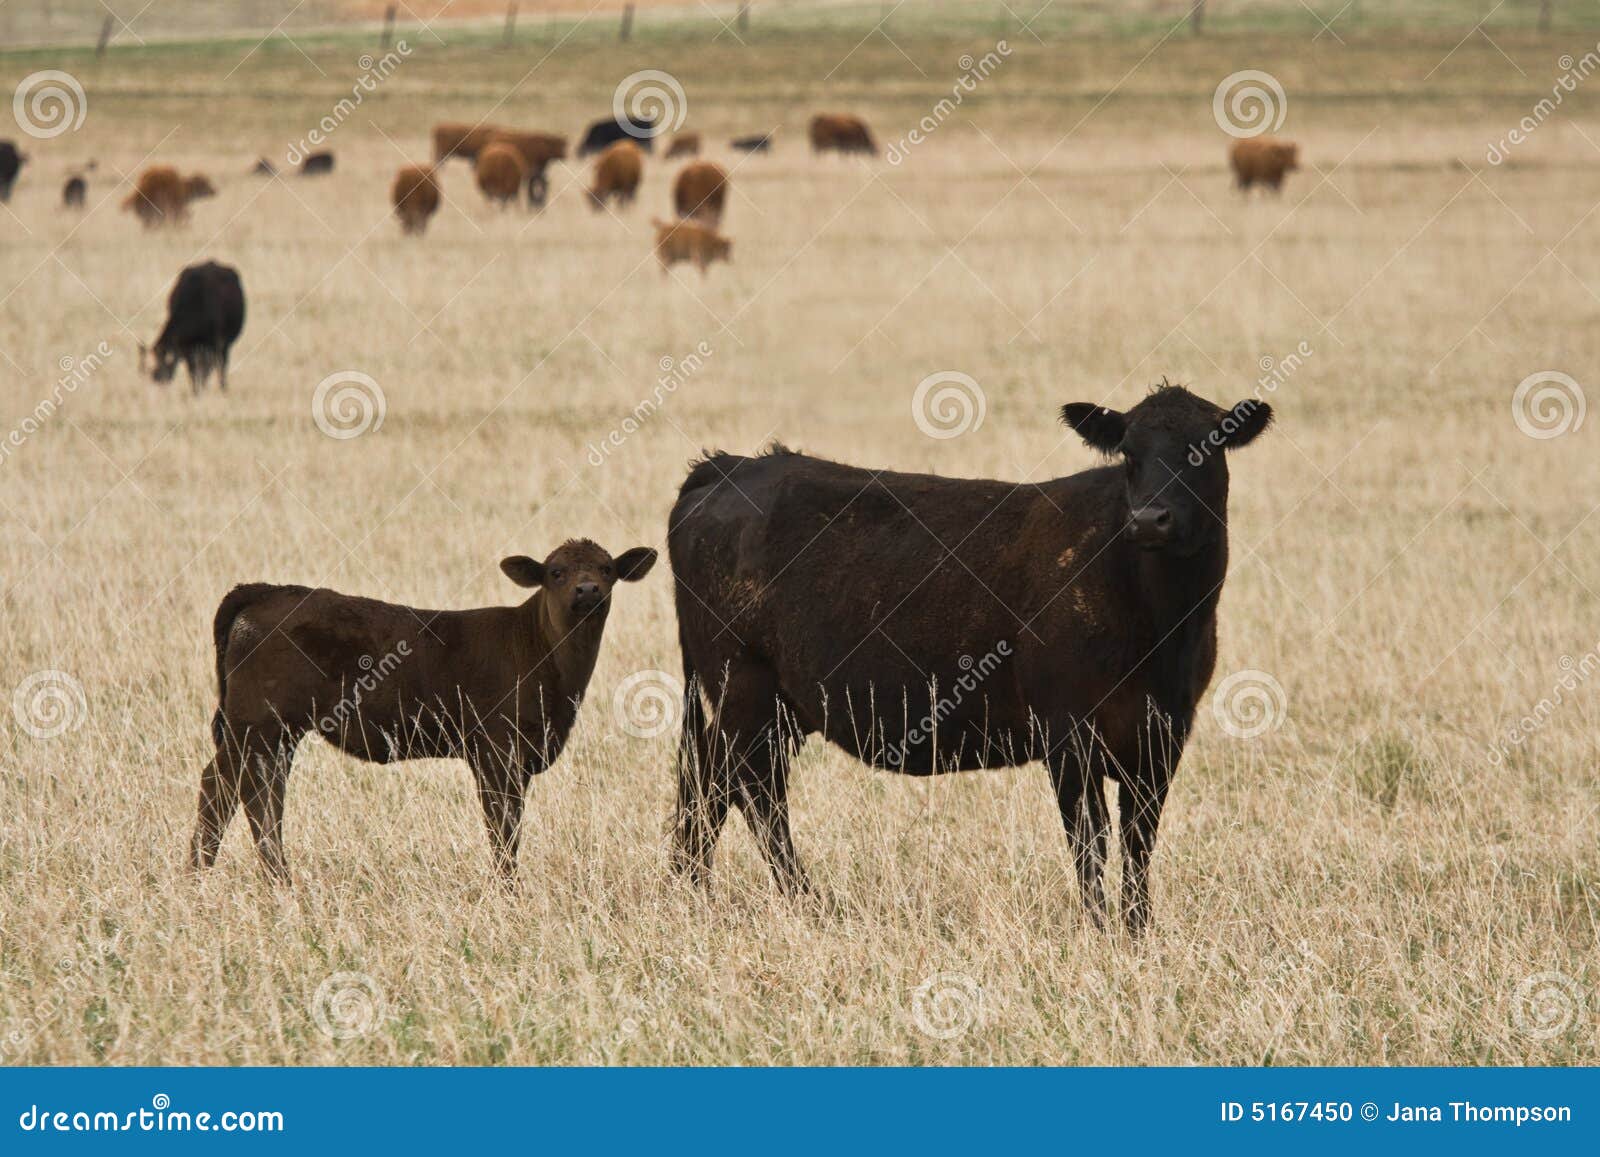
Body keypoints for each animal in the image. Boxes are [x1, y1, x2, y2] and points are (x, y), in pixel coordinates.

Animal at [139, 261, 246, 394]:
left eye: (158, 371)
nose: (157, 383)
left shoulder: (216, 344)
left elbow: (210, 369)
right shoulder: (187, 348)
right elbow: (193, 371)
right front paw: (196, 391)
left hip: (223, 346)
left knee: (220, 366)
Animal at [189, 540, 659, 883]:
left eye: (607, 569)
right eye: (556, 572)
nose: (587, 590)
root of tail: (266, 591)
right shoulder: (496, 750)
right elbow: (503, 827)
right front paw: (506, 891)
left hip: (270, 731)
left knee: (246, 790)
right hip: (260, 723)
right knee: (235, 789)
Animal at [667, 384, 1273, 934]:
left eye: (1206, 448)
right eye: (1128, 453)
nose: (1149, 519)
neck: (1161, 621)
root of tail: (730, 467)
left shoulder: (1163, 732)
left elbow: (1139, 837)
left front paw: (1139, 928)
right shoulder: (1067, 731)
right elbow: (1090, 837)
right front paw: (1100, 928)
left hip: (766, 703)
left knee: (711, 782)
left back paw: (694, 890)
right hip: (744, 686)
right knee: (752, 791)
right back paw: (802, 901)